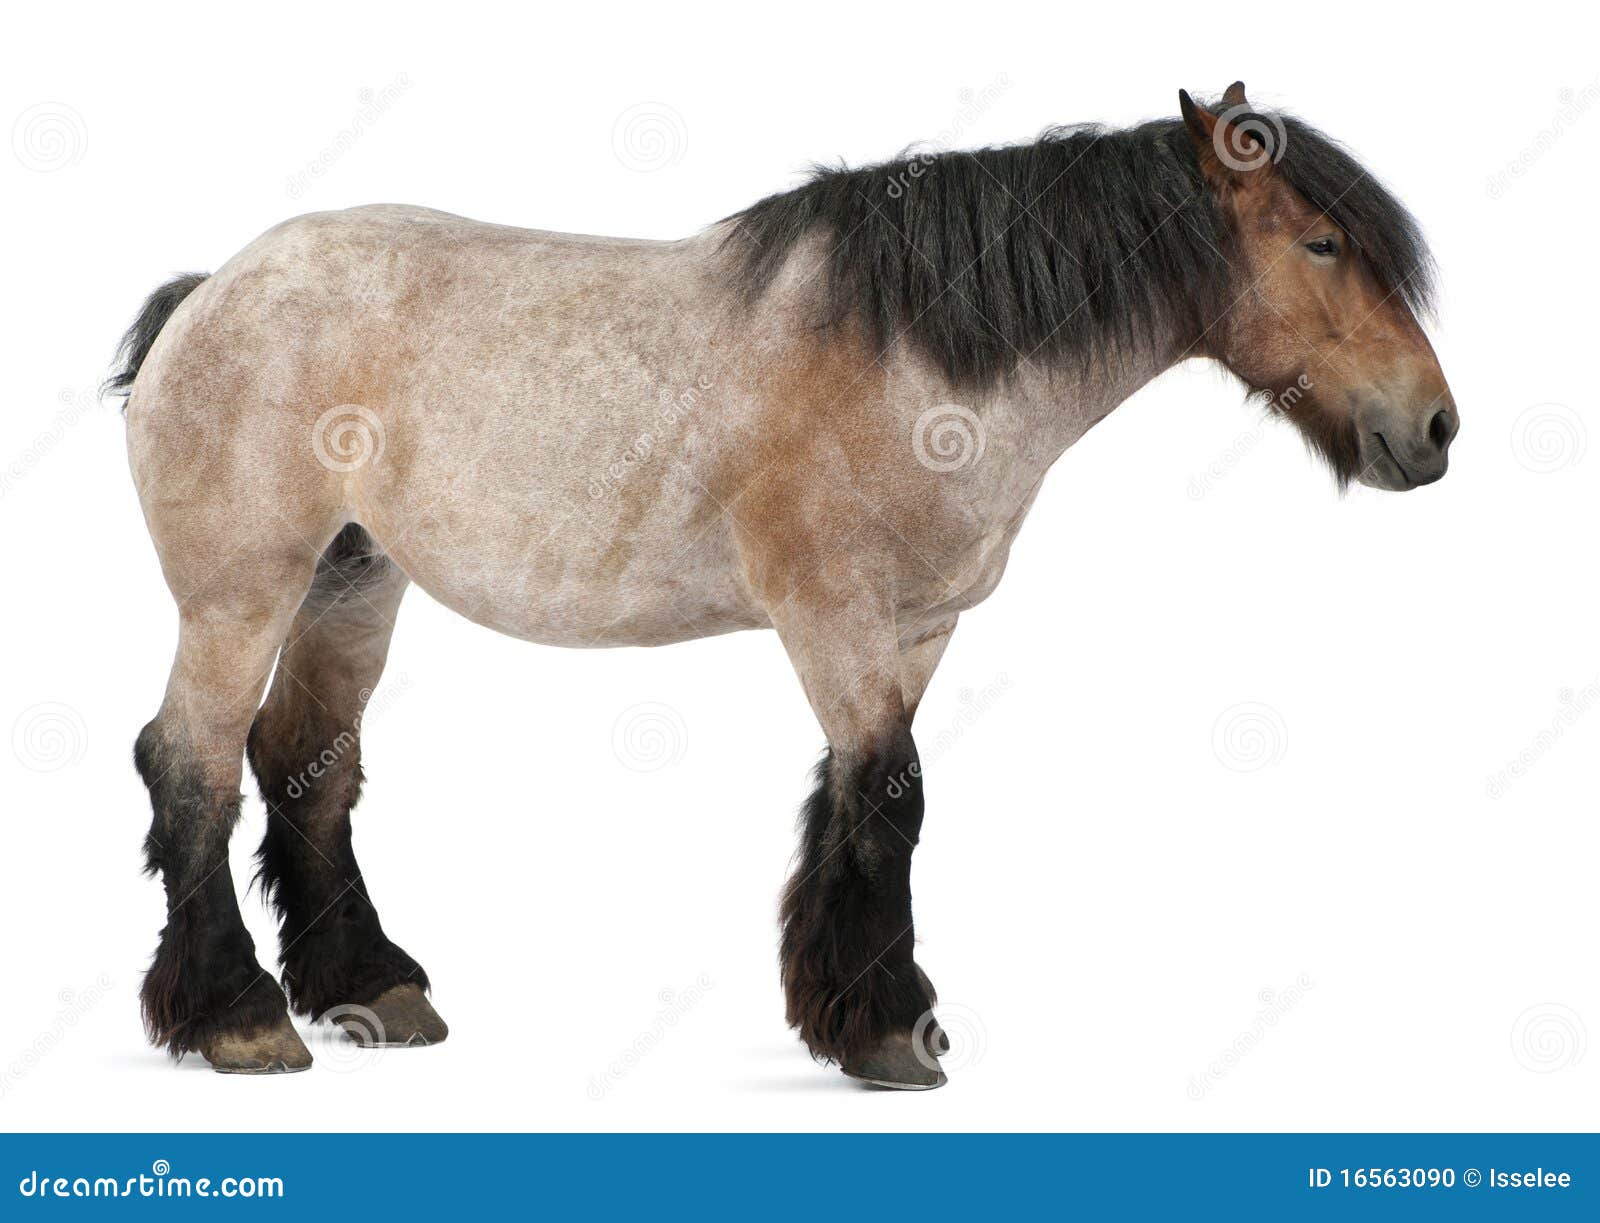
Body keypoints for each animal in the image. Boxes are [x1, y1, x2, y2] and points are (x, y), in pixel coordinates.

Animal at [109, 82, 1456, 1087]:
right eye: (1322, 242)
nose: (1434, 428)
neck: (919, 356)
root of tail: (210, 292)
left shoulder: (915, 630)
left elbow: (861, 796)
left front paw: (858, 1007)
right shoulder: (833, 619)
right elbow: (891, 797)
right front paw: (889, 1028)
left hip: (353, 583)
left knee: (305, 764)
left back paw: (371, 987)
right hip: (241, 595)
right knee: (193, 761)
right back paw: (239, 1017)